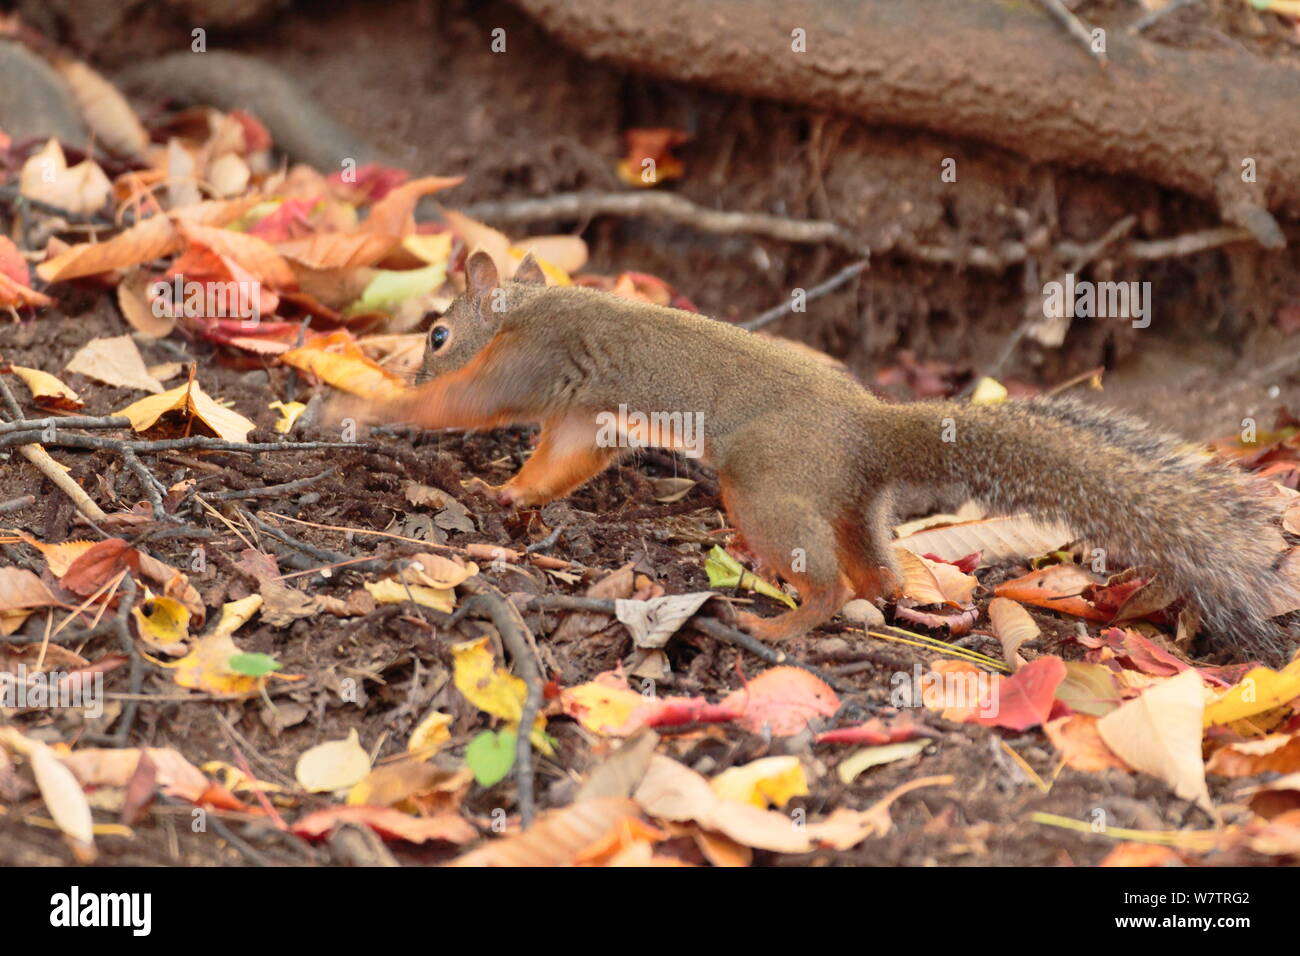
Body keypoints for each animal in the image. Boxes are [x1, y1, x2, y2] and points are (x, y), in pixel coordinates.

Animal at [357, 250, 1299, 663]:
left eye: (437, 334)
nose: (416, 358)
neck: (524, 308)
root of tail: (867, 425)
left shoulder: (529, 362)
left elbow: (468, 403)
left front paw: (377, 400)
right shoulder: (583, 416)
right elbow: (560, 462)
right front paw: (512, 492)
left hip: (768, 485)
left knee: (831, 586)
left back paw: (778, 620)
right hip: (852, 502)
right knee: (874, 573)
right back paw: (907, 603)